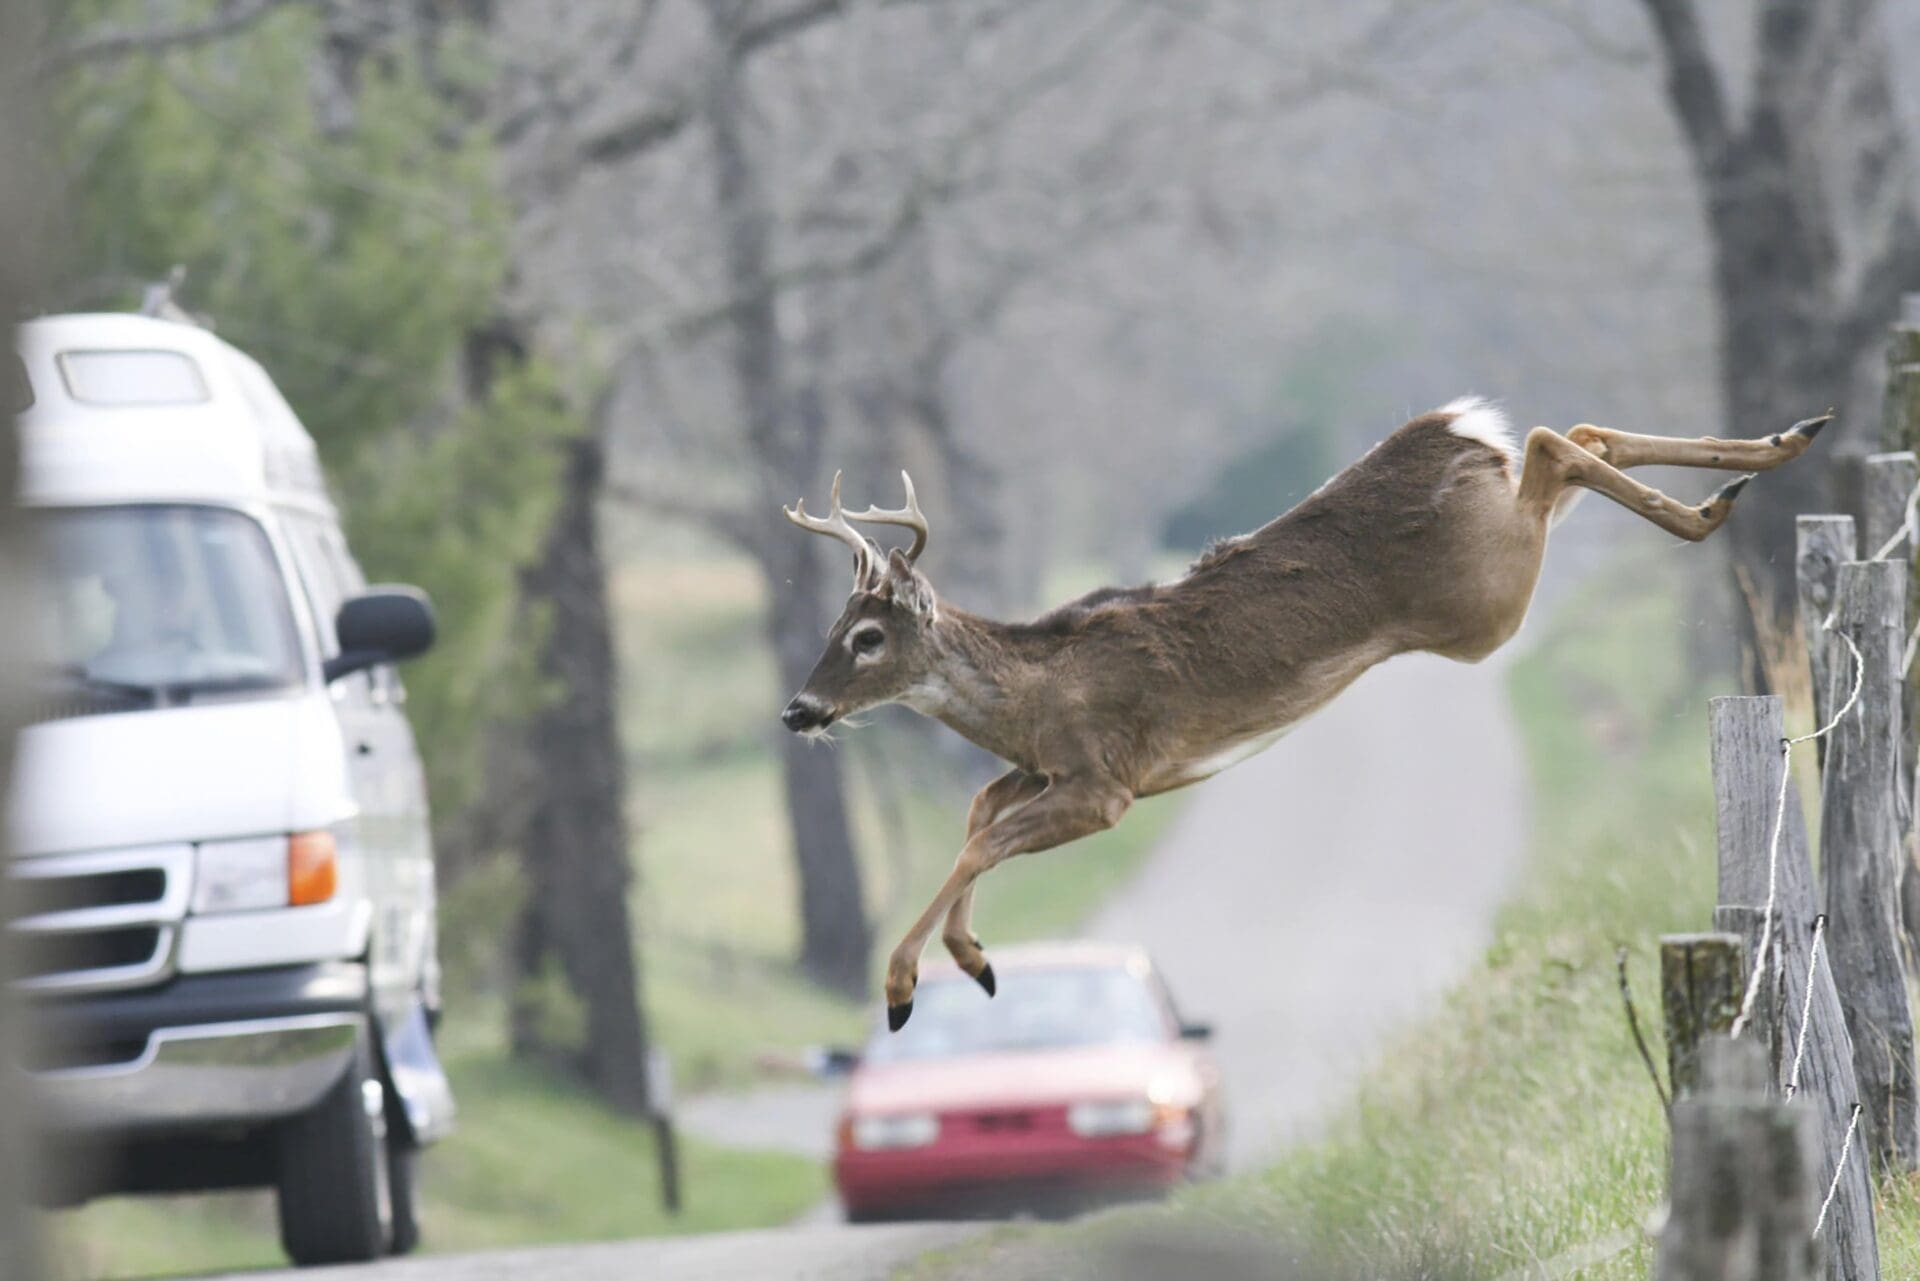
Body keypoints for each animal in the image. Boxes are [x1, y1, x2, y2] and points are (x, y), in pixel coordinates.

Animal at [779, 398, 1831, 1030]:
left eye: (866, 636)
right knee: (1576, 434)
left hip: (1487, 600)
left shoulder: (1106, 783)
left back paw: (1719, 500)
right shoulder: (1046, 770)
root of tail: (1452, 430)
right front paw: (975, 957)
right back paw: (1777, 448)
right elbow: (977, 815)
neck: (1032, 694)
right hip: (1500, 564)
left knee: (1551, 441)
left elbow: (981, 838)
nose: (798, 709)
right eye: (830, 626)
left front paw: (905, 986)